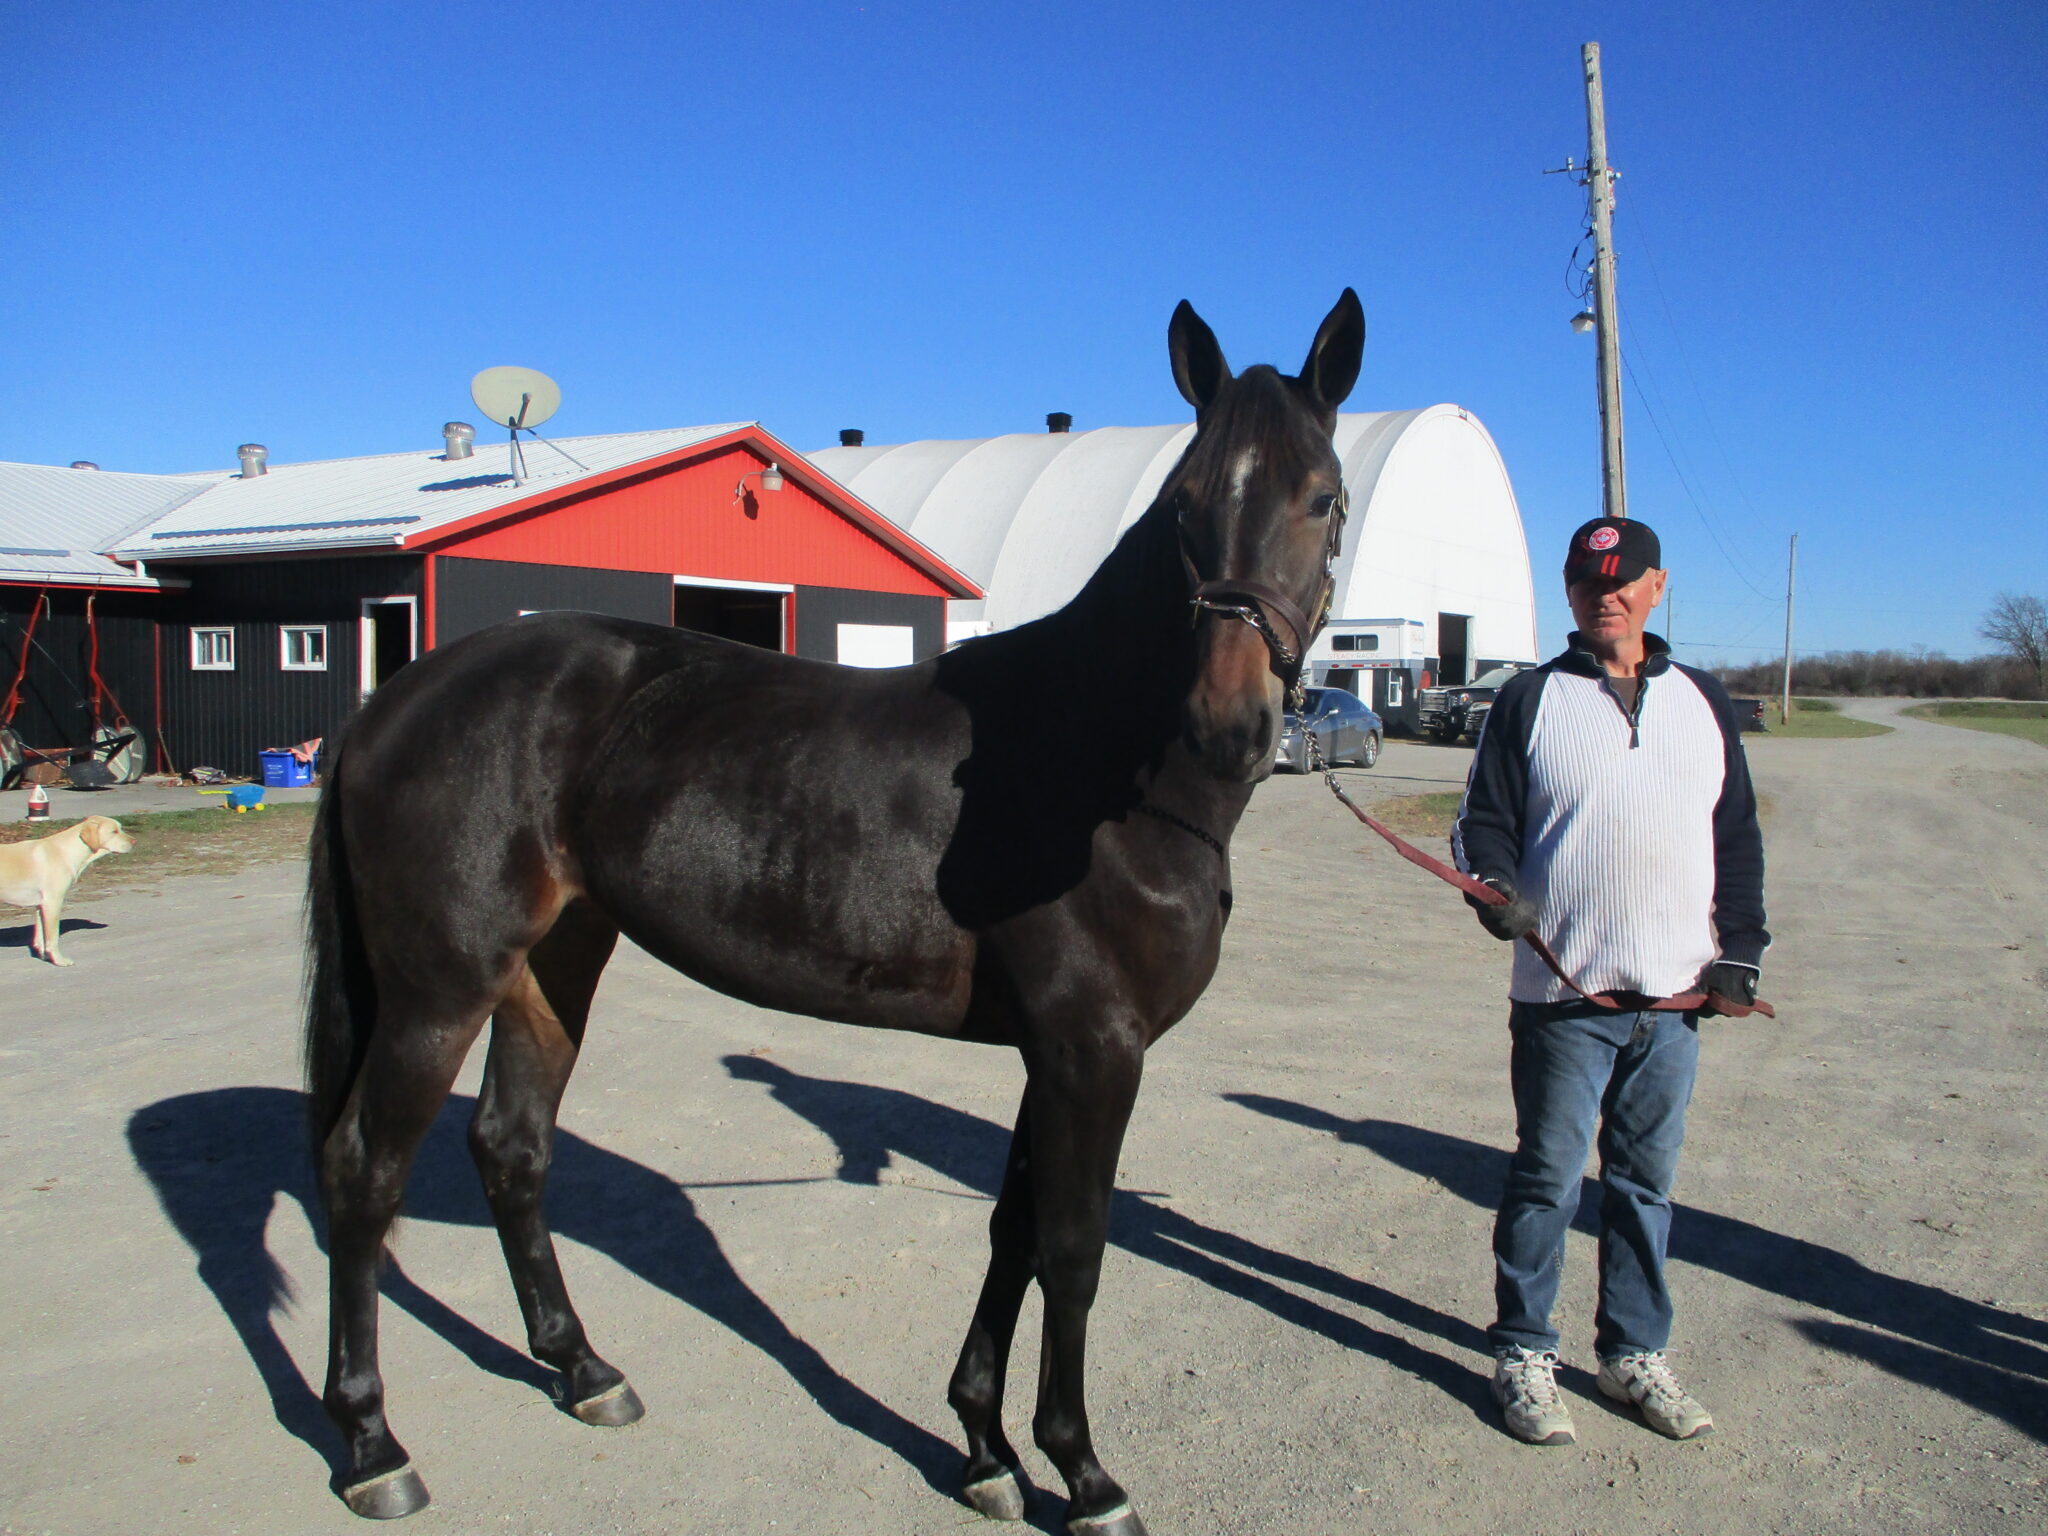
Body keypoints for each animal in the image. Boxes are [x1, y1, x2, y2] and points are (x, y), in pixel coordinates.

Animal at [304, 290, 1366, 1533]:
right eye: (1185, 502)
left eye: (1323, 497)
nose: (1230, 723)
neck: (1096, 767)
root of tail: (395, 697)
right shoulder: (1093, 1051)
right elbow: (1072, 1249)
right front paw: (1083, 1473)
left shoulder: (1049, 1054)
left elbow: (1011, 1231)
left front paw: (982, 1447)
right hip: (439, 986)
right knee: (362, 1172)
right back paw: (372, 1445)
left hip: (551, 962)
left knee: (511, 1150)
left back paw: (582, 1371)